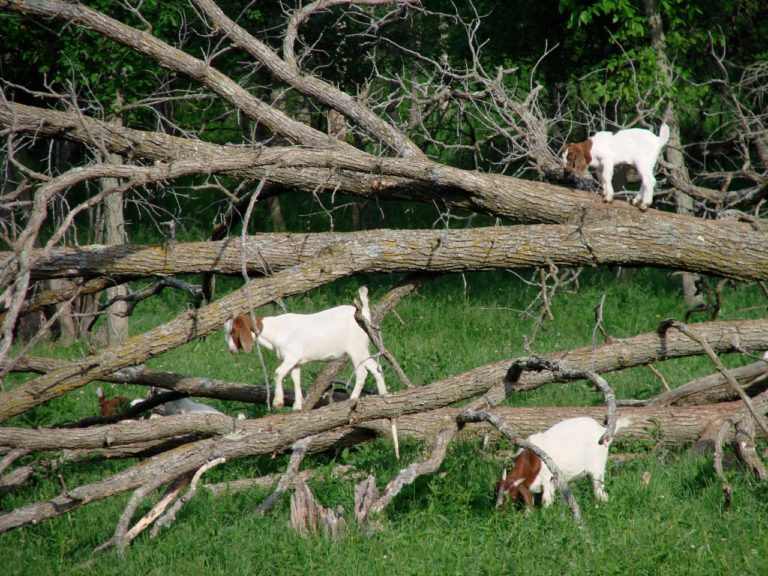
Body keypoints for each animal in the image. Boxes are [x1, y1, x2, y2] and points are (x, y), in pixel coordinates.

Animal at [224, 287, 387, 410]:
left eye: (233, 331)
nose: (231, 350)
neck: (276, 330)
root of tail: (364, 314)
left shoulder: (291, 356)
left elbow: (278, 372)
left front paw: (278, 402)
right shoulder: (295, 361)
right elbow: (295, 379)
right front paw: (297, 406)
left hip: (355, 350)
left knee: (362, 373)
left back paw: (352, 399)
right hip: (362, 349)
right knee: (375, 367)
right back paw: (384, 395)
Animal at [495, 416, 631, 510]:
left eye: (512, 495)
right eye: (498, 492)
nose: (498, 507)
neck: (532, 459)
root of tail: (602, 430)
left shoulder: (548, 478)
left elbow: (545, 500)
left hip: (598, 467)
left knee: (599, 491)